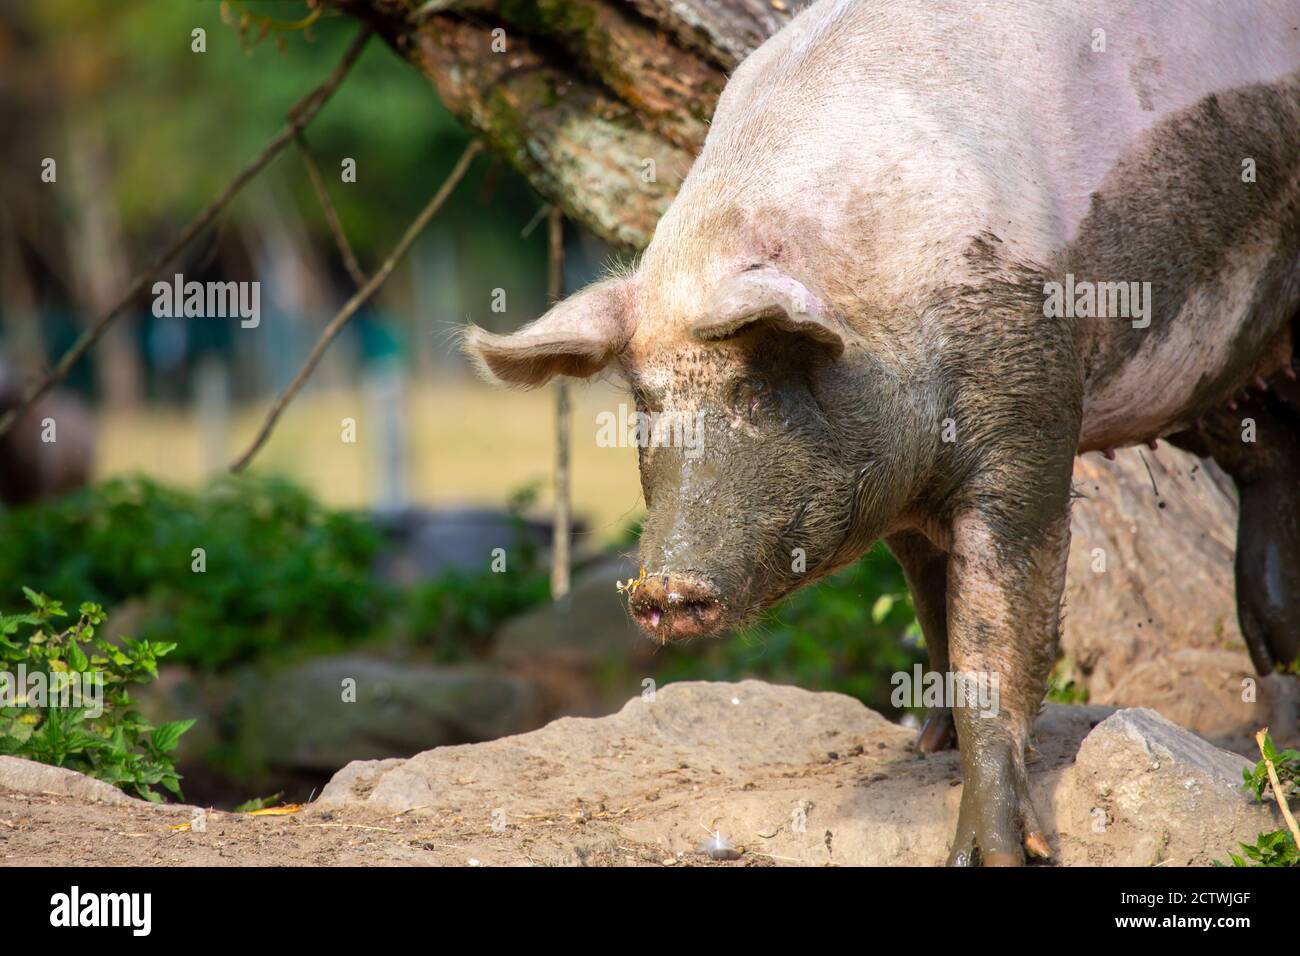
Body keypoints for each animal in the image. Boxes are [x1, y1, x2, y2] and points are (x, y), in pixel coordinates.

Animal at [466, 0, 1300, 865]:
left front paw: (989, 853)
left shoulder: (1029, 416)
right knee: (1270, 466)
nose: (663, 588)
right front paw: (925, 743)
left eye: (755, 389)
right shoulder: (906, 506)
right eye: (645, 401)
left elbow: (992, 635)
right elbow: (934, 611)